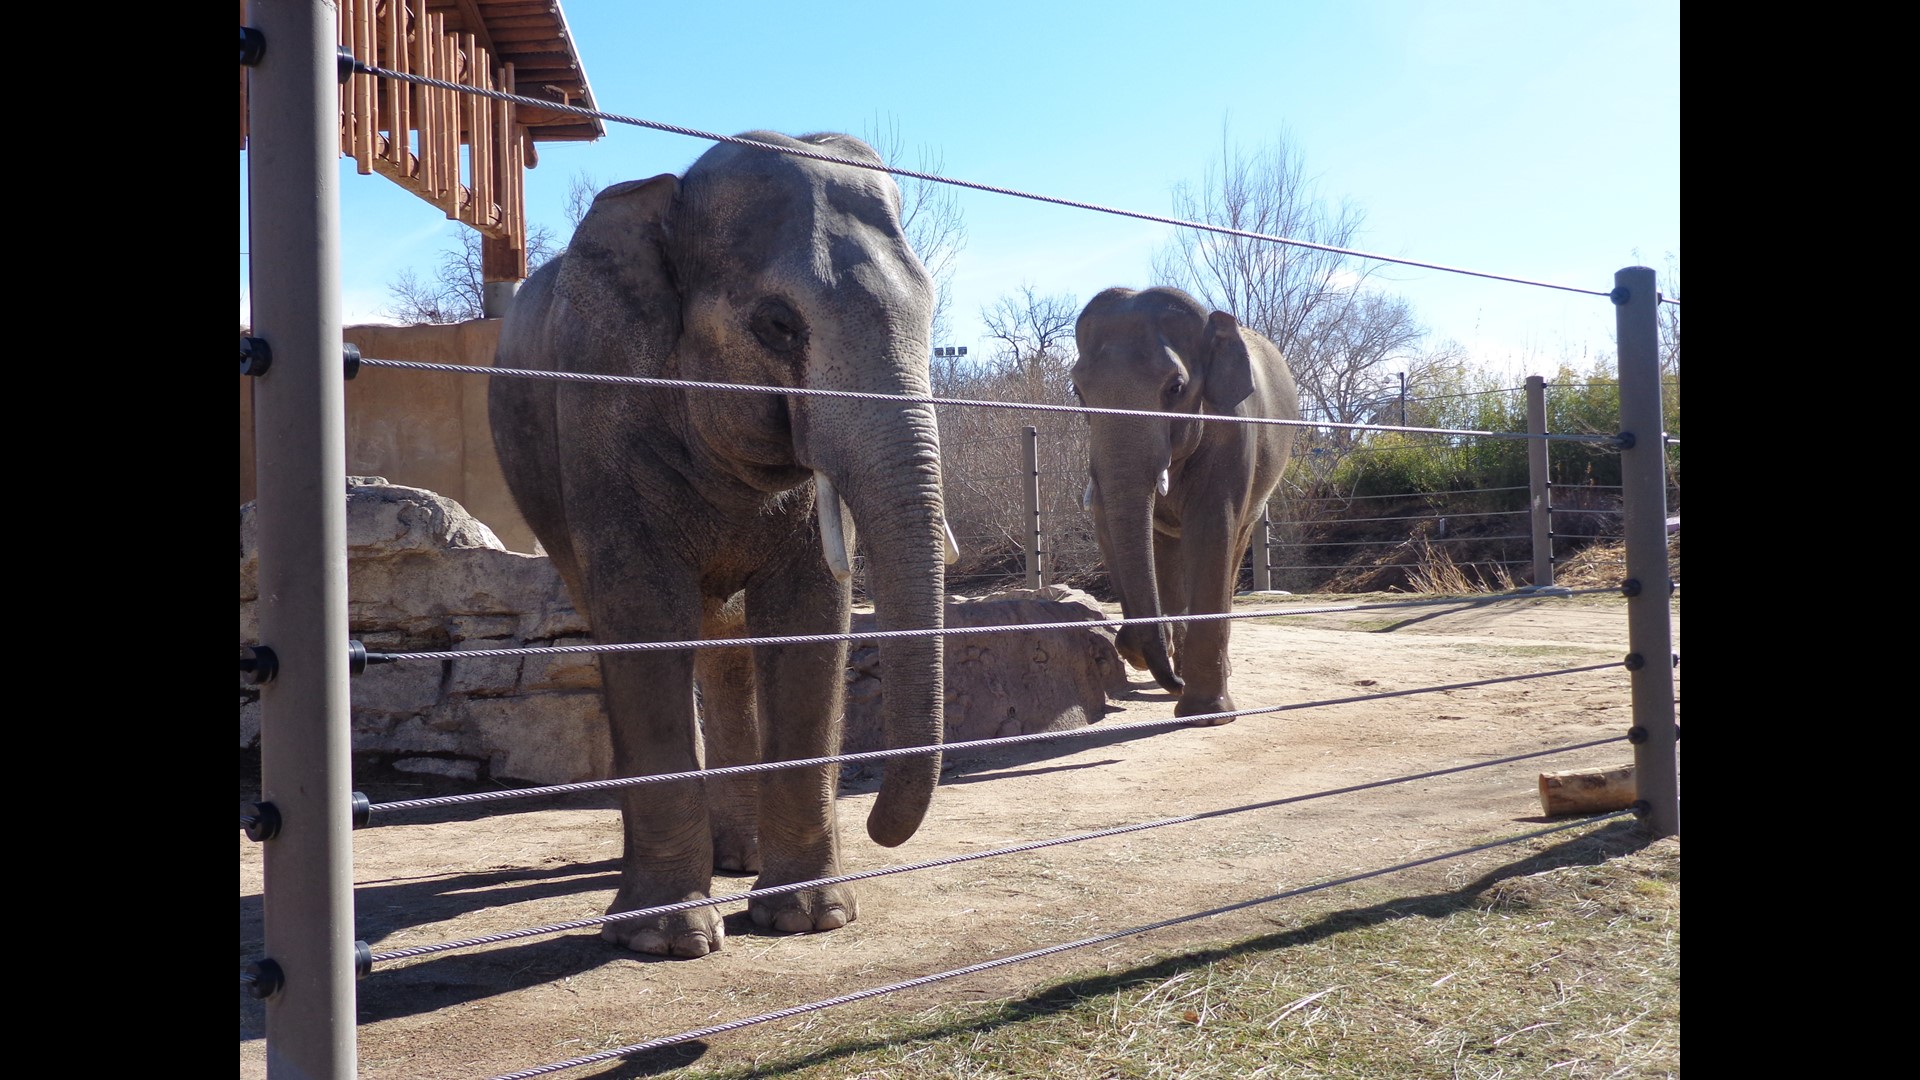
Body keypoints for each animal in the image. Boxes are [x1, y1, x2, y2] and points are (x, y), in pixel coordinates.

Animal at [488, 131, 954, 958]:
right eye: (778, 324)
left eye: (931, 308)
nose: (875, 824)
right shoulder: (601, 412)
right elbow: (642, 616)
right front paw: (668, 939)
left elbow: (808, 617)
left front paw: (810, 918)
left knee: (727, 650)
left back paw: (742, 857)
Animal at [1070, 286, 1300, 721]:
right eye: (1077, 392)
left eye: (1175, 388)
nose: (1173, 682)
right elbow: (1112, 519)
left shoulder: (1232, 431)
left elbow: (1211, 530)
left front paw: (1205, 713)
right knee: (1166, 549)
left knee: (1234, 543)